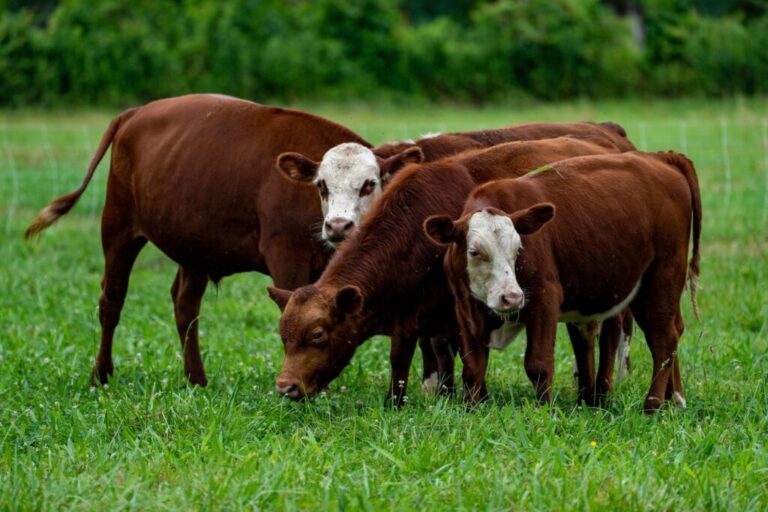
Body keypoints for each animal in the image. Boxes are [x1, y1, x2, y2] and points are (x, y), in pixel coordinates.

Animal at [24, 94, 379, 387]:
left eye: (369, 184)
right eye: (322, 185)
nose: (338, 226)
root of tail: (135, 113)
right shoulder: (286, 254)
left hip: (193, 245)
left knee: (185, 305)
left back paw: (195, 377)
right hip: (117, 225)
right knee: (111, 300)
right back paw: (102, 374)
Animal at [267, 134, 634, 405]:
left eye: (317, 334)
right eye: (283, 335)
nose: (285, 386)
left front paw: (470, 399)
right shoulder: (408, 313)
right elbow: (402, 360)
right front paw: (399, 402)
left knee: (611, 333)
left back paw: (601, 394)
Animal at [423, 151, 701, 412]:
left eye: (518, 249)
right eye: (474, 252)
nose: (511, 298)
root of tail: (660, 157)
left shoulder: (544, 299)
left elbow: (538, 363)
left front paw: (543, 409)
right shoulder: (464, 307)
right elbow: (473, 367)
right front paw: (472, 408)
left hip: (661, 279)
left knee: (663, 339)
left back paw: (652, 405)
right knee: (669, 331)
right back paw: (670, 398)